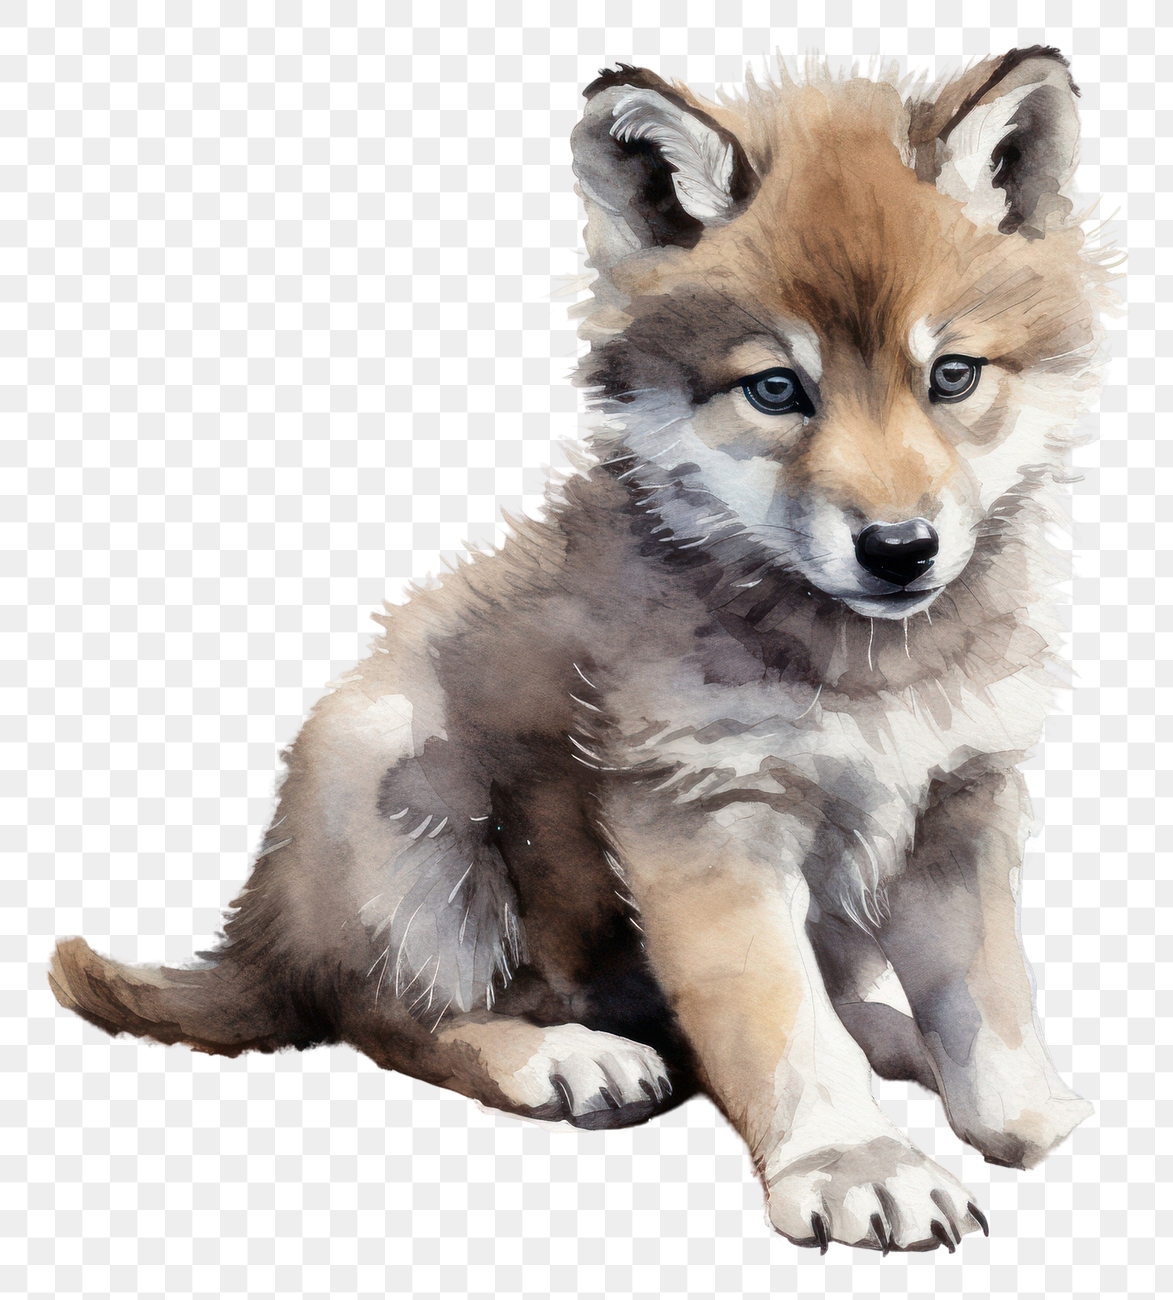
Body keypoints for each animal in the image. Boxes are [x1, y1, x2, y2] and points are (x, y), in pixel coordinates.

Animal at [50, 49, 1110, 1253]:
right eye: (777, 389)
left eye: (953, 376)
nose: (899, 550)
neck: (862, 671)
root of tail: (258, 941)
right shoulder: (701, 820)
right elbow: (776, 1020)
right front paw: (855, 1161)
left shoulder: (960, 801)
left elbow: (985, 998)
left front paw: (1023, 1115)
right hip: (394, 784)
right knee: (384, 1014)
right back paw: (562, 1057)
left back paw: (880, 1035)